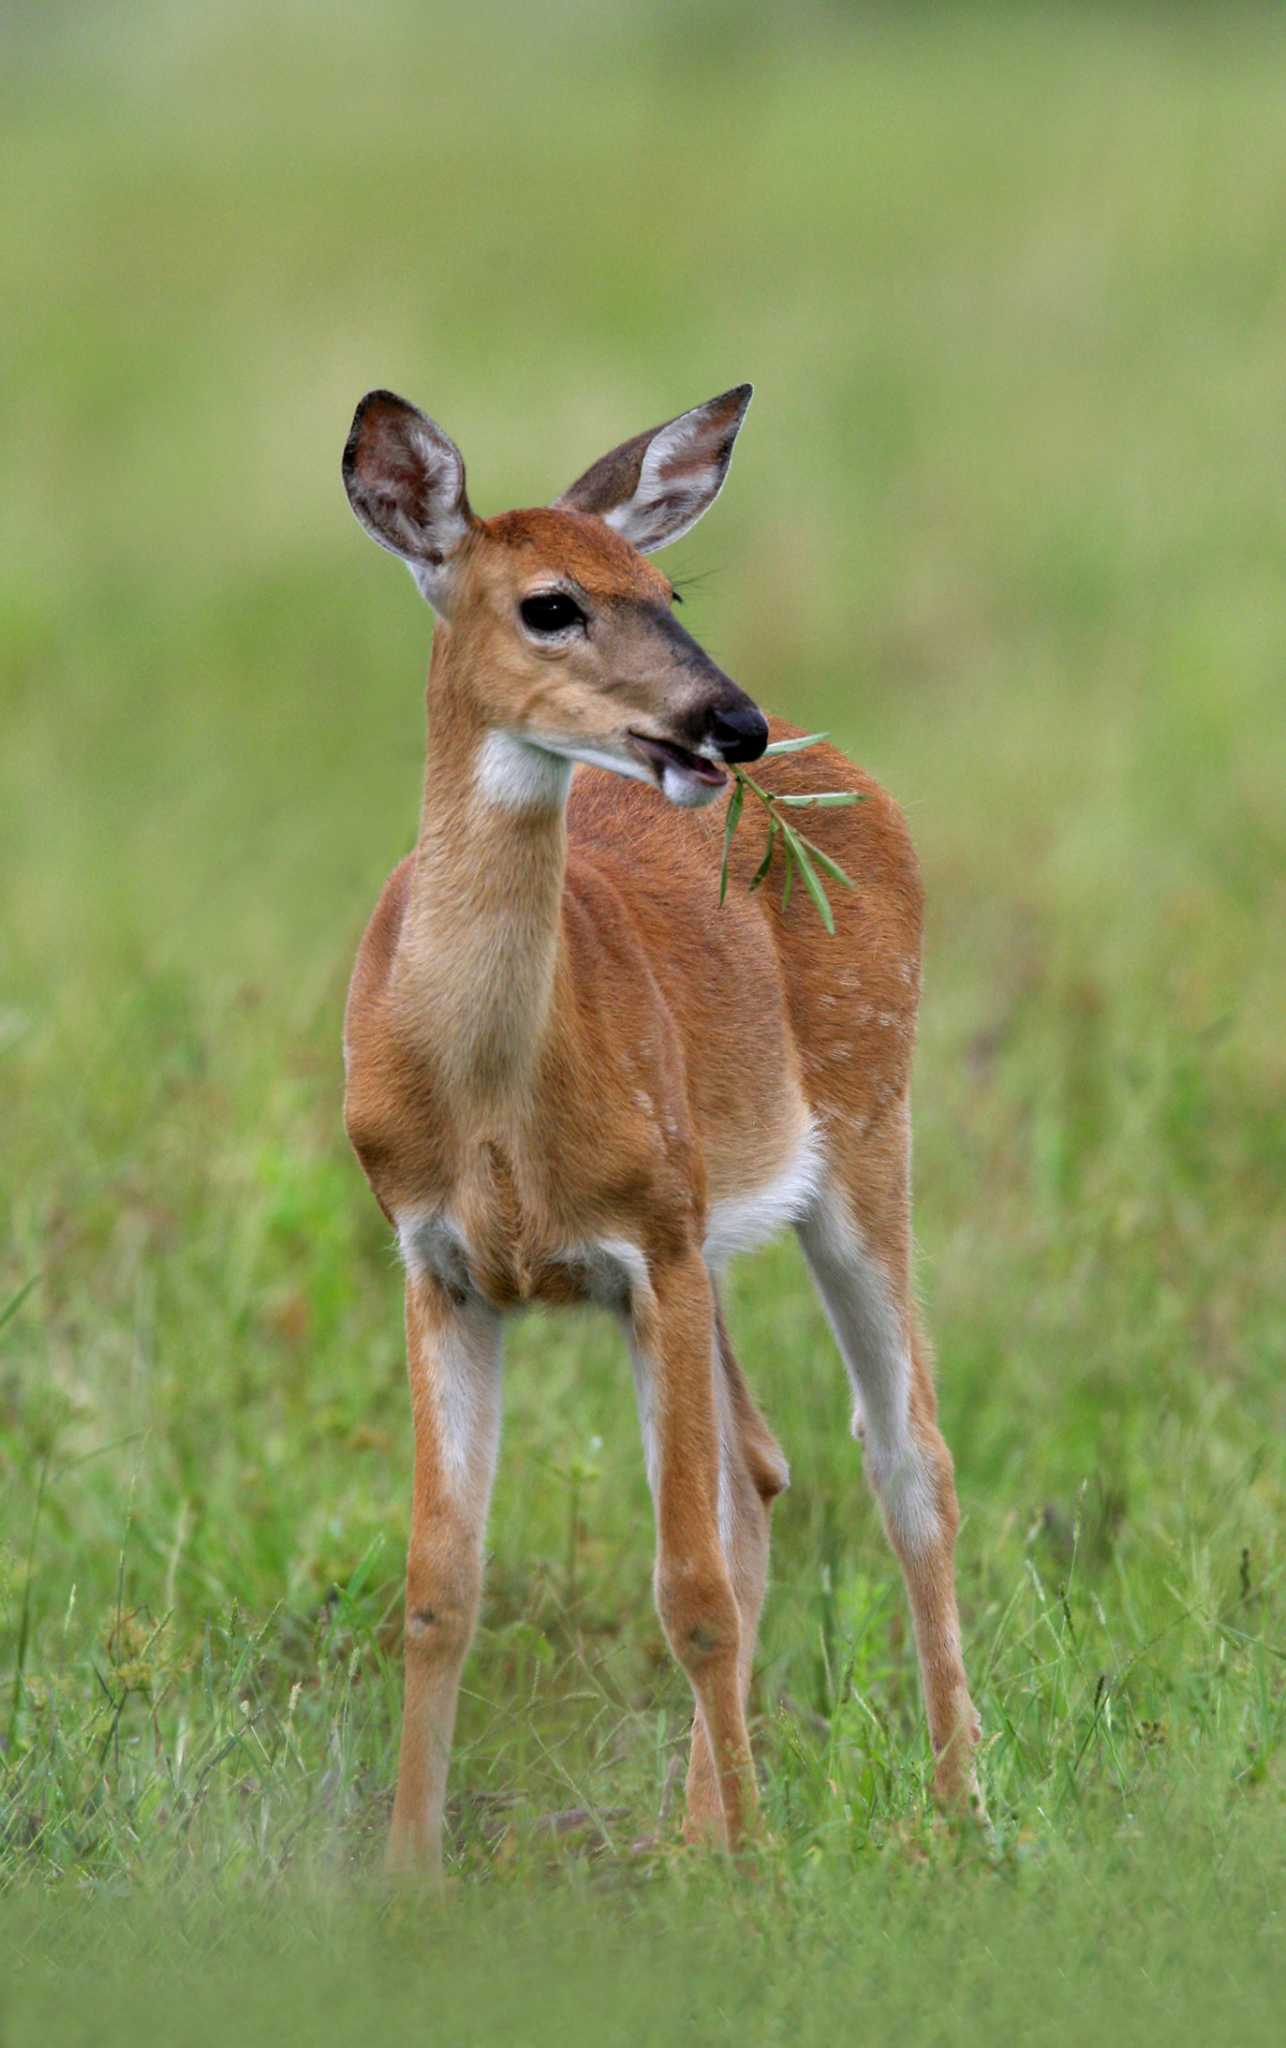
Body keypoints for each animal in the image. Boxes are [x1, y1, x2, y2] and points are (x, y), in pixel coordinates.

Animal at [339, 382, 983, 1877]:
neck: (494, 1105)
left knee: (902, 1458)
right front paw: (405, 1873)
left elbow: (683, 1583)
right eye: (550, 604)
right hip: (721, 1214)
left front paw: (754, 1872)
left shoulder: (653, 1242)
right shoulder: (437, 1263)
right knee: (759, 1473)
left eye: (668, 587)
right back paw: (694, 1833)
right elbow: (437, 1584)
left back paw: (955, 1809)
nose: (724, 723)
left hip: (862, 1125)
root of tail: (840, 757)